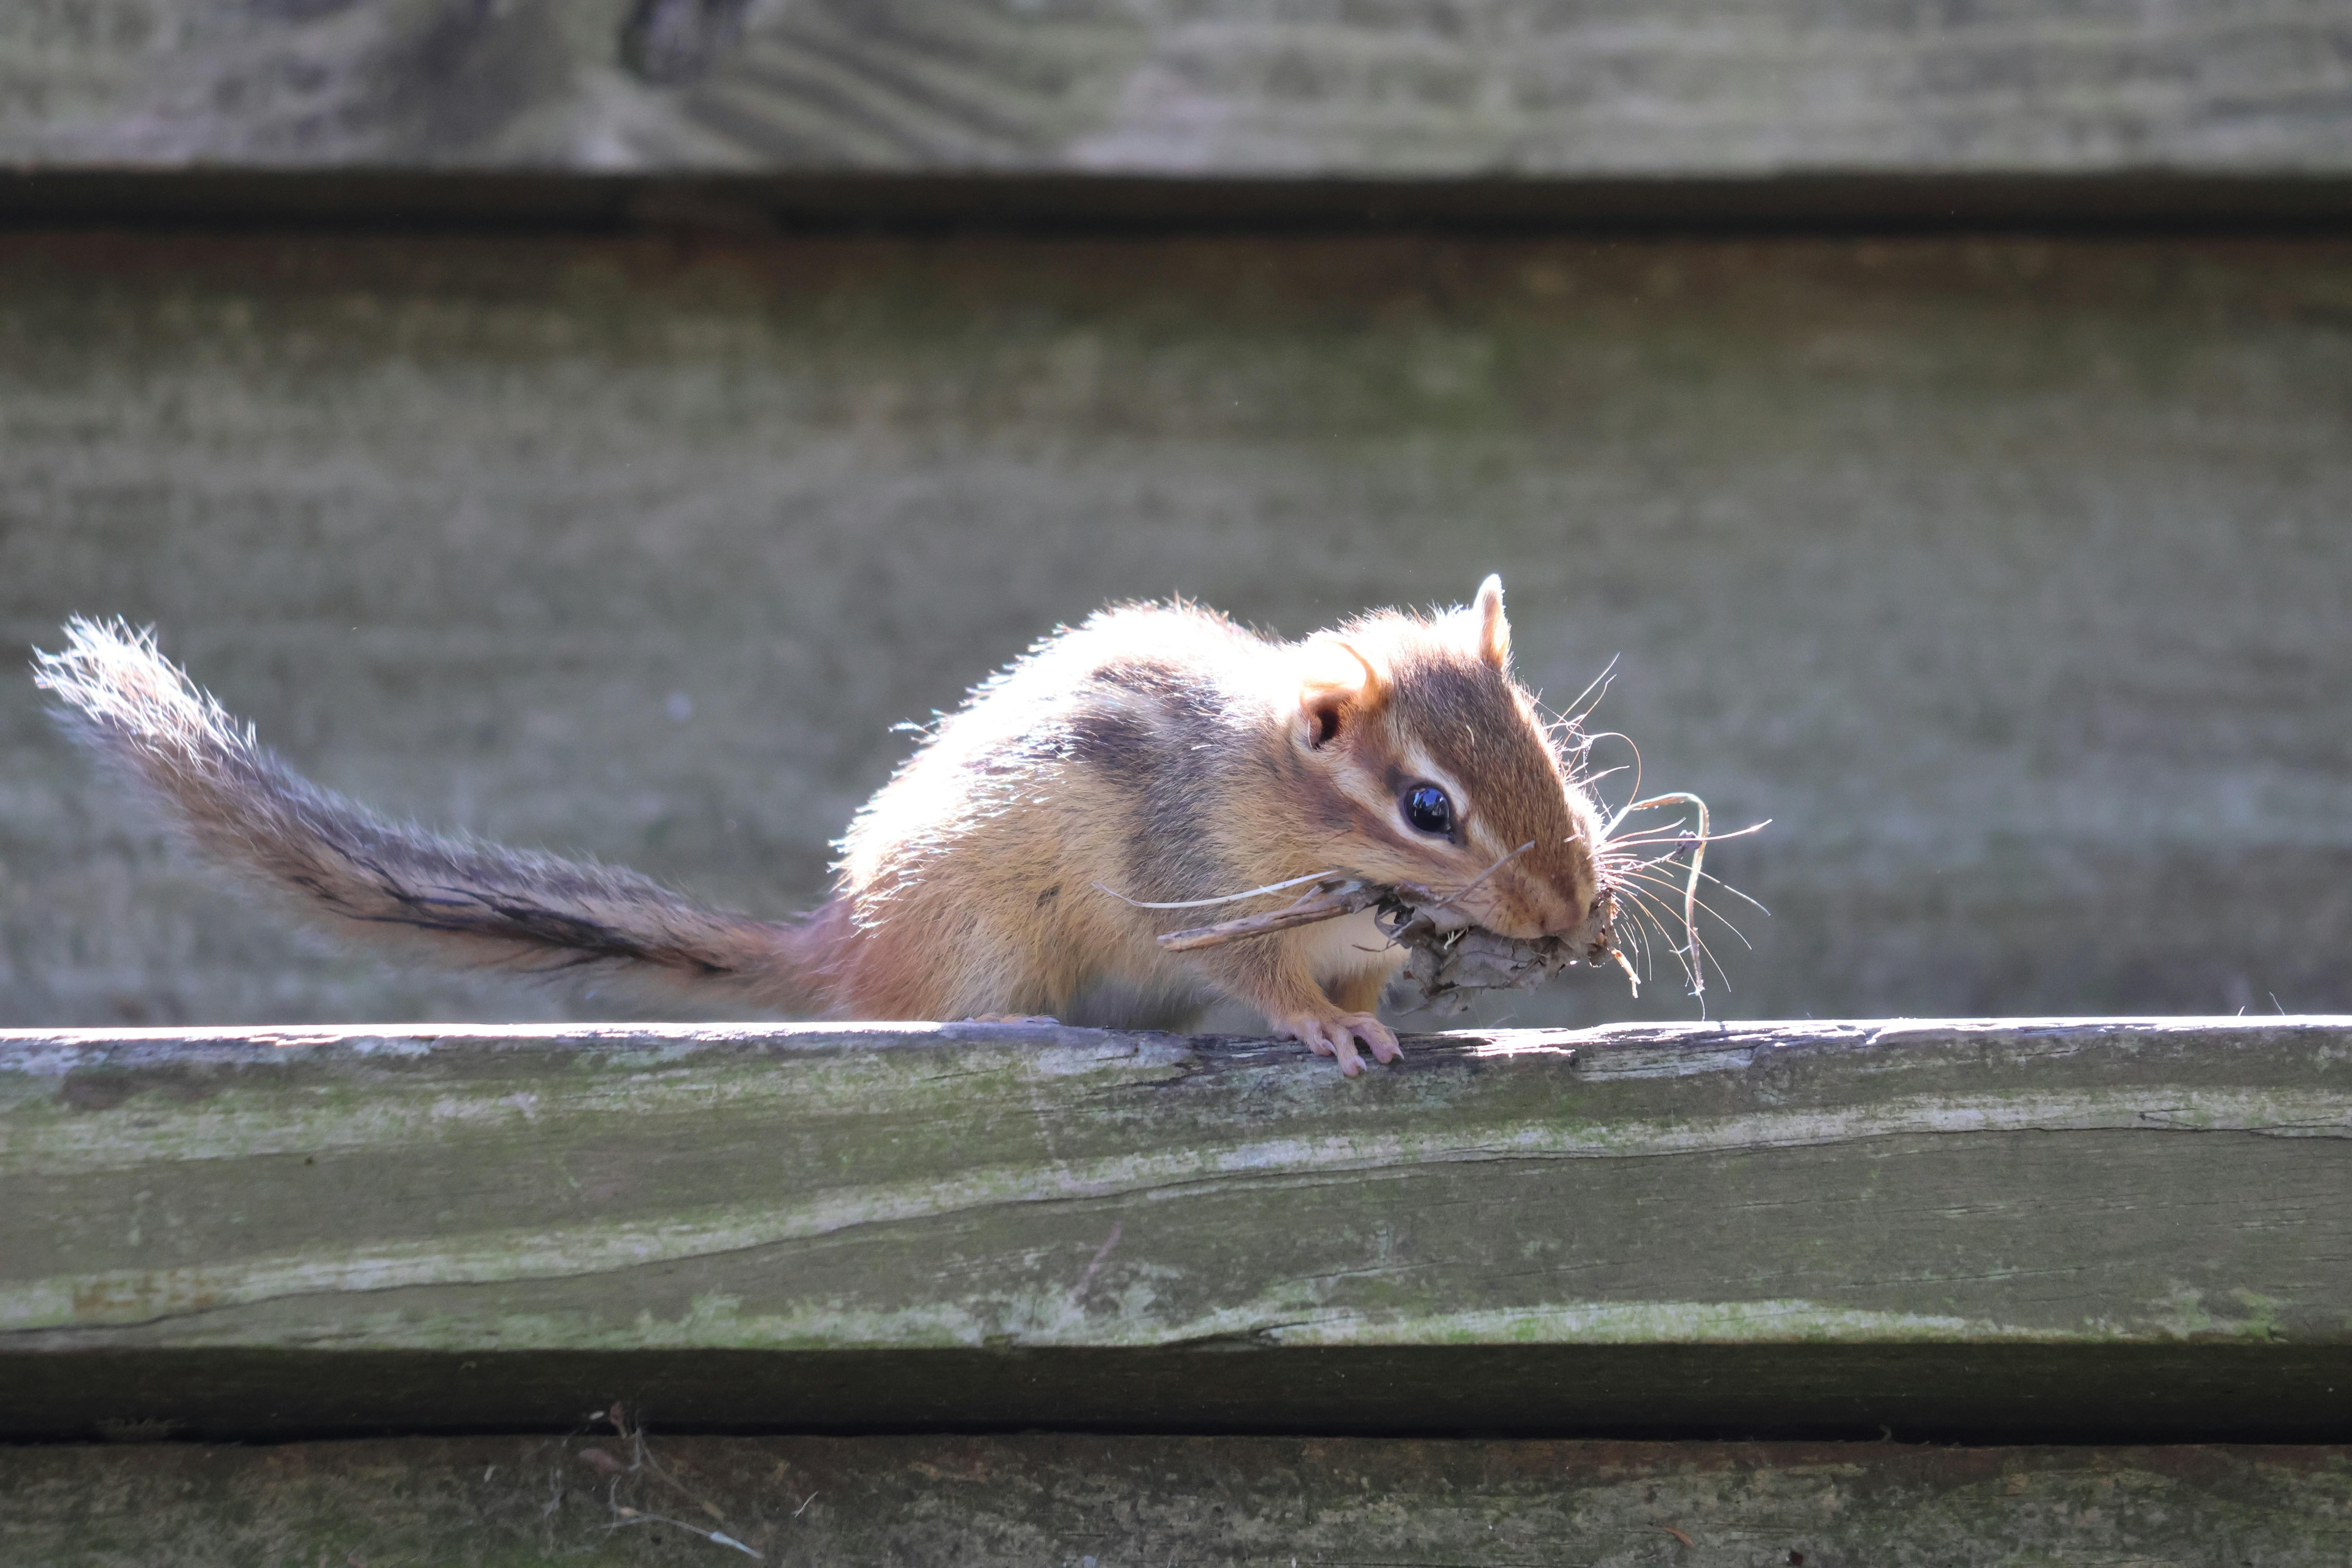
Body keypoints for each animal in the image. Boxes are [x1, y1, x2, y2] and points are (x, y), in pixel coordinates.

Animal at [36, 576, 1606, 1075]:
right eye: (1427, 806)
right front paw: (1326, 1029)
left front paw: (1393, 1013)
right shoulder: (1199, 887)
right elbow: (1262, 977)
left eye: (1551, 760)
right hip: (981, 948)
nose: (1572, 915)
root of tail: (845, 939)